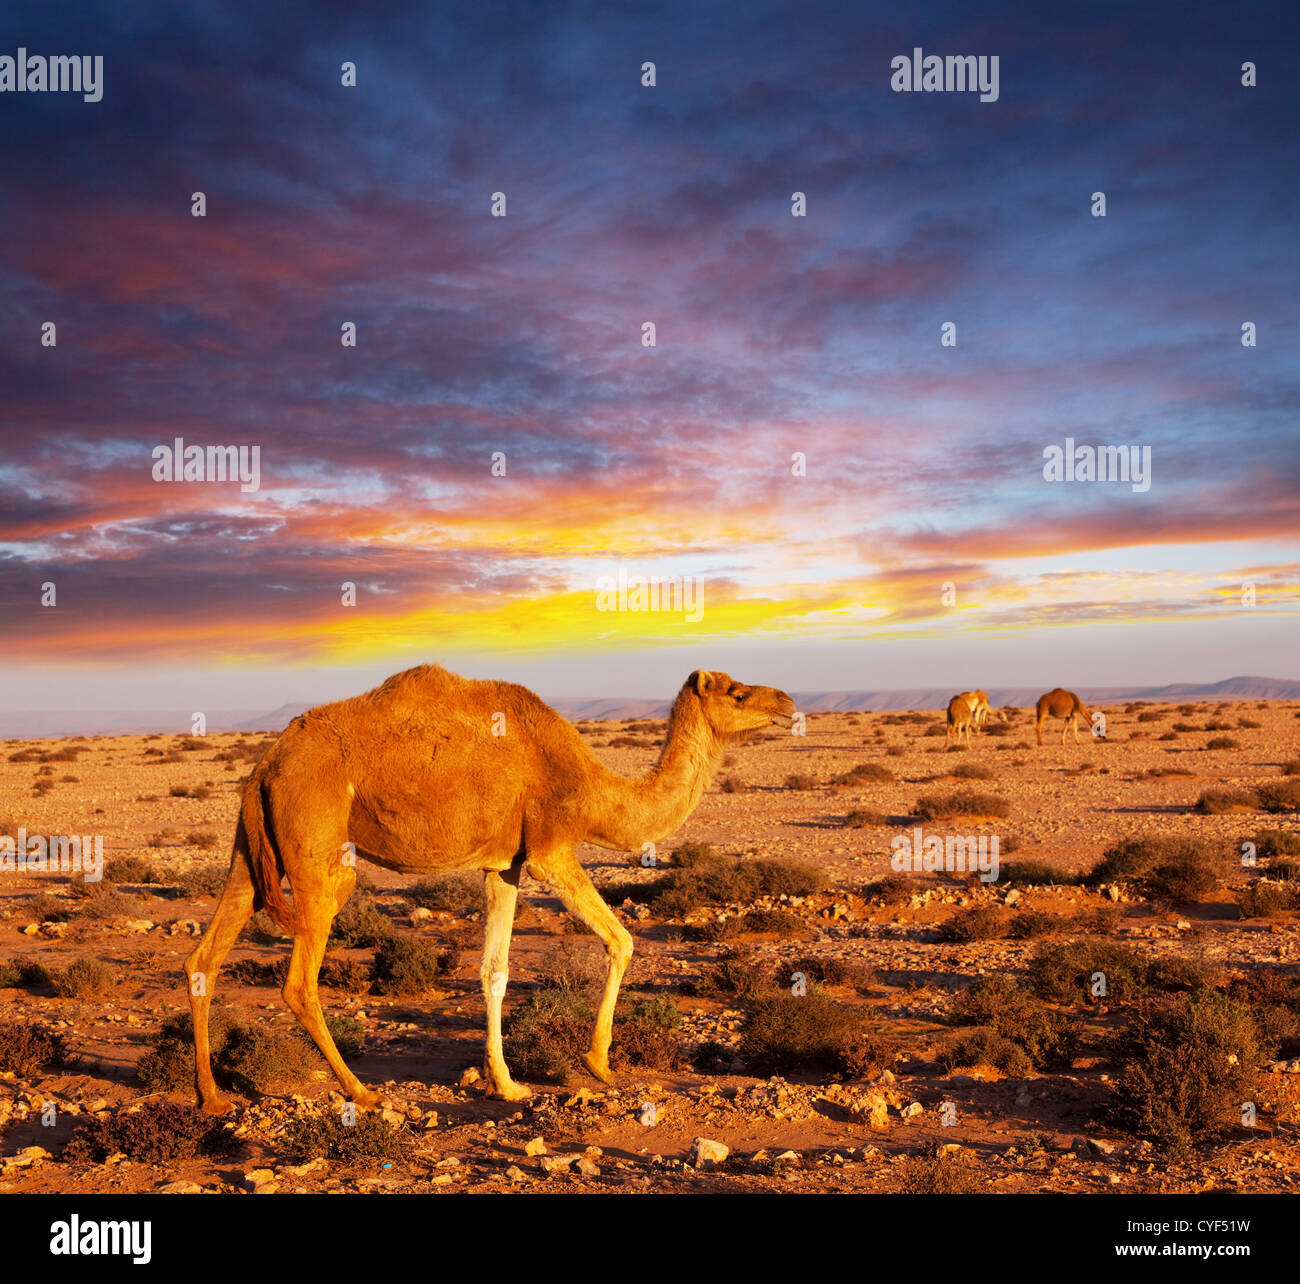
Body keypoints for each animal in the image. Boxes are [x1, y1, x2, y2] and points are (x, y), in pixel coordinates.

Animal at [185, 664, 795, 1113]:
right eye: (738, 693)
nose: (788, 703)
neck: (594, 789)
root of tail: (266, 765)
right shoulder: (549, 851)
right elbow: (620, 941)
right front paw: (598, 1063)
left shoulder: (505, 864)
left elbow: (495, 971)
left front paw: (506, 1083)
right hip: (320, 852)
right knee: (299, 982)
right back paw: (361, 1091)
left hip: (248, 854)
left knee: (205, 956)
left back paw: (212, 1097)